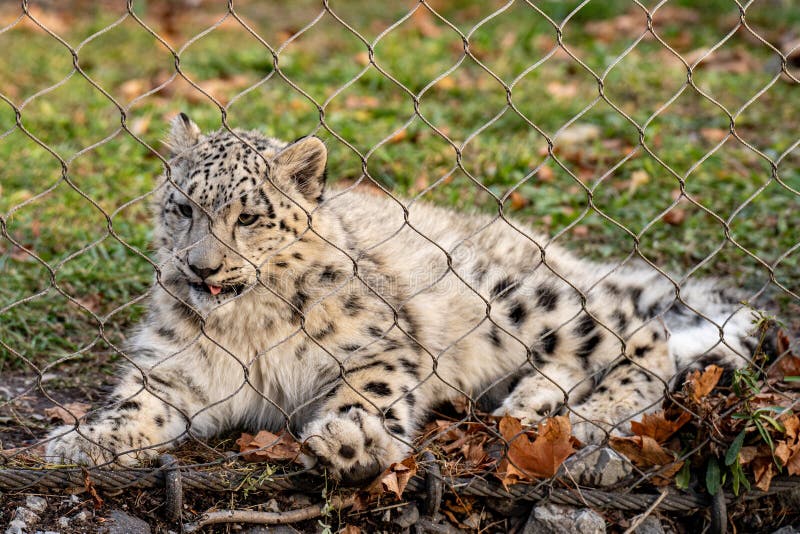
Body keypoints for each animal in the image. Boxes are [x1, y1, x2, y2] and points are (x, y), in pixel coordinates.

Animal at [45, 113, 760, 483]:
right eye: (184, 207)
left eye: (248, 217)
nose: (202, 268)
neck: (244, 327)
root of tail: (544, 247)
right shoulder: (175, 369)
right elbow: (138, 404)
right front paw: (81, 442)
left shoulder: (381, 345)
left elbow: (371, 390)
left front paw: (348, 438)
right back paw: (526, 405)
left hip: (524, 300)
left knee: (642, 332)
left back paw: (587, 418)